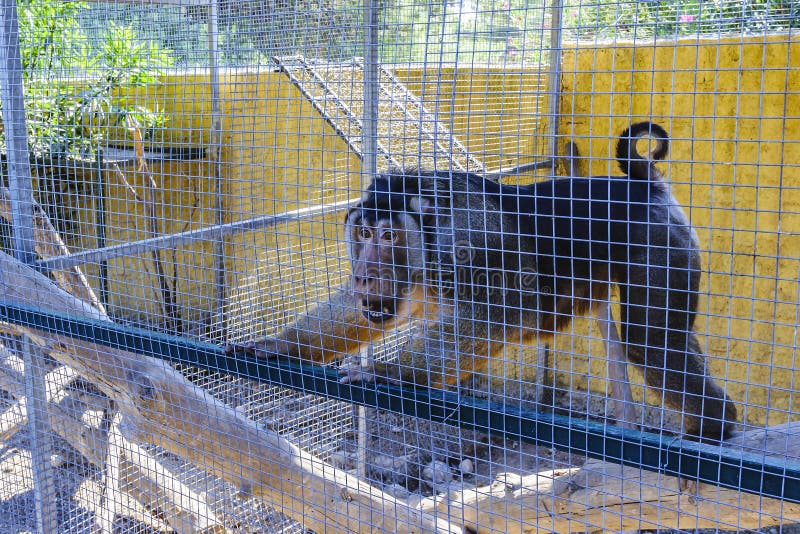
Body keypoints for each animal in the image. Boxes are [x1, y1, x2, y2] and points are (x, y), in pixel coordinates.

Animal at [227, 121, 738, 442]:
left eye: (390, 236)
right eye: (364, 234)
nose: (366, 271)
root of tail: (645, 186)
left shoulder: (466, 242)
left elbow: (499, 313)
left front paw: (390, 375)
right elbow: (357, 310)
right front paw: (280, 346)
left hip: (661, 234)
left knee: (649, 340)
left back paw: (714, 428)